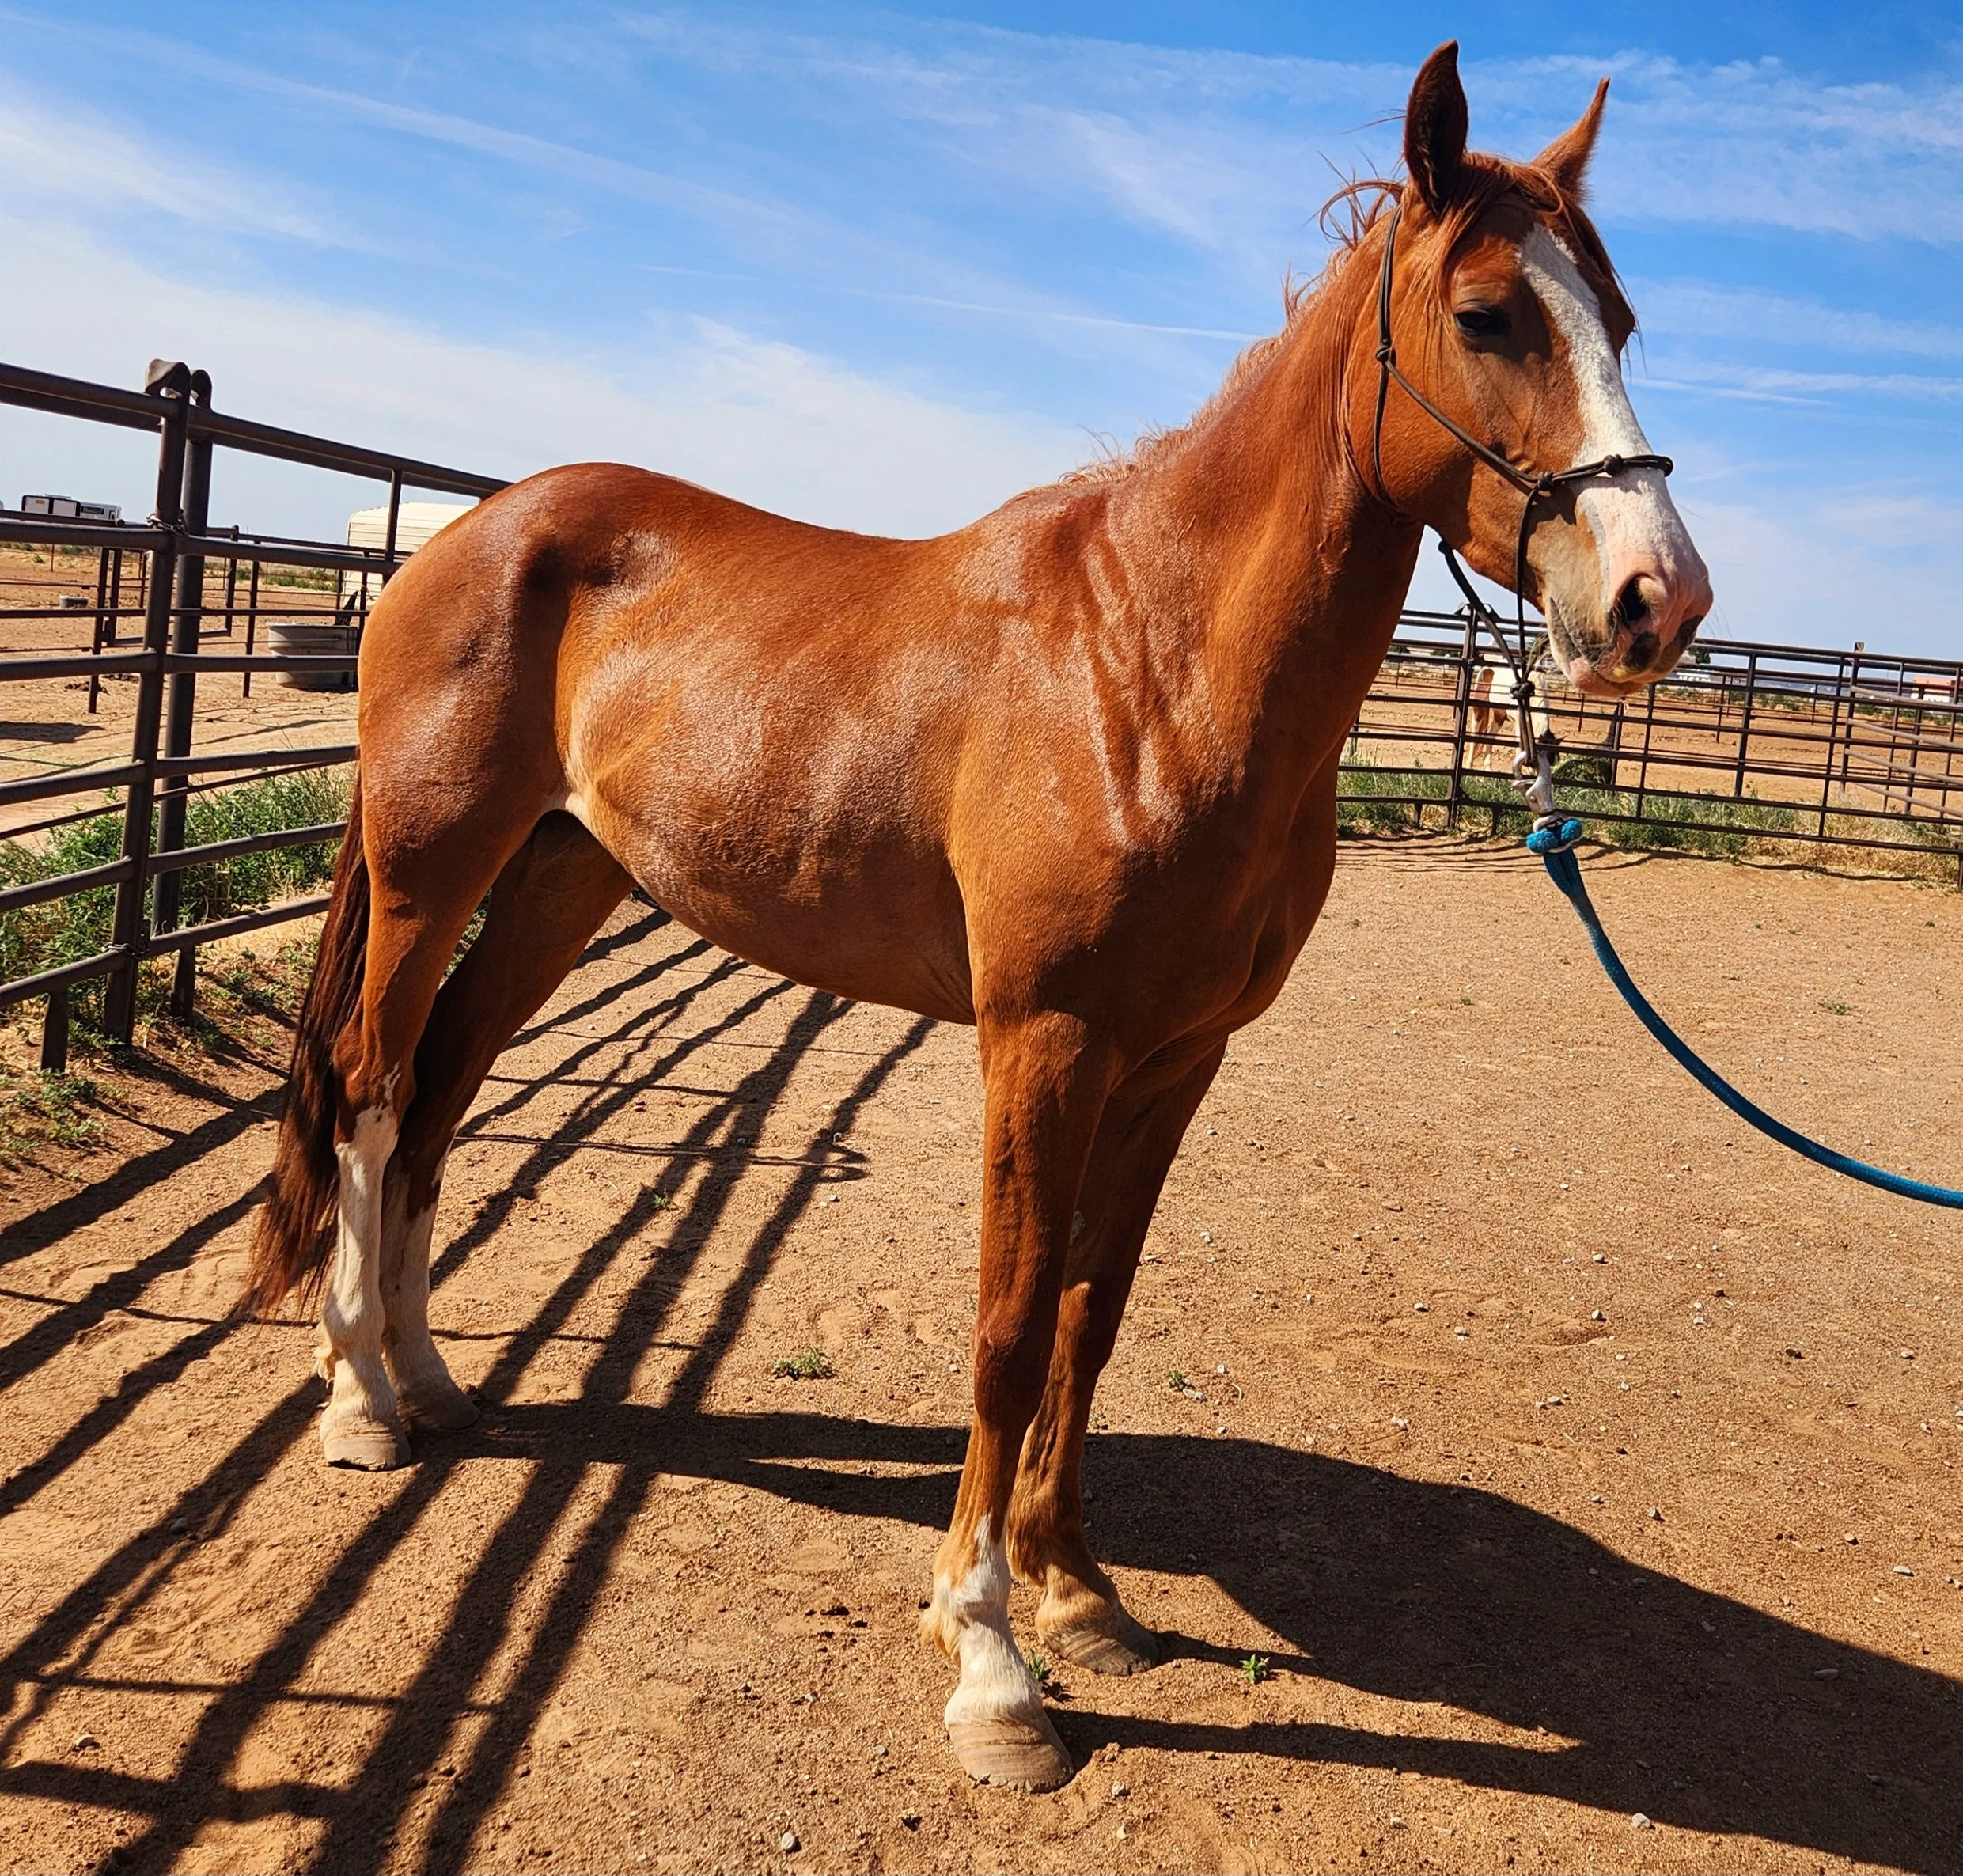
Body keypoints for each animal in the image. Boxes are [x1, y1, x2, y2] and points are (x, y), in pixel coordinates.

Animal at [243, 42, 1711, 1793]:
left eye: (1617, 318)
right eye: (1490, 315)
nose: (1655, 600)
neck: (1149, 662)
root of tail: (466, 531)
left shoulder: (1175, 1060)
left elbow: (1091, 1311)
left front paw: (1080, 1598)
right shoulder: (1044, 1040)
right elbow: (1009, 1325)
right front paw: (991, 1662)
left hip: (557, 880)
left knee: (442, 1092)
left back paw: (426, 1376)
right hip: (430, 871)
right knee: (373, 1087)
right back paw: (355, 1405)